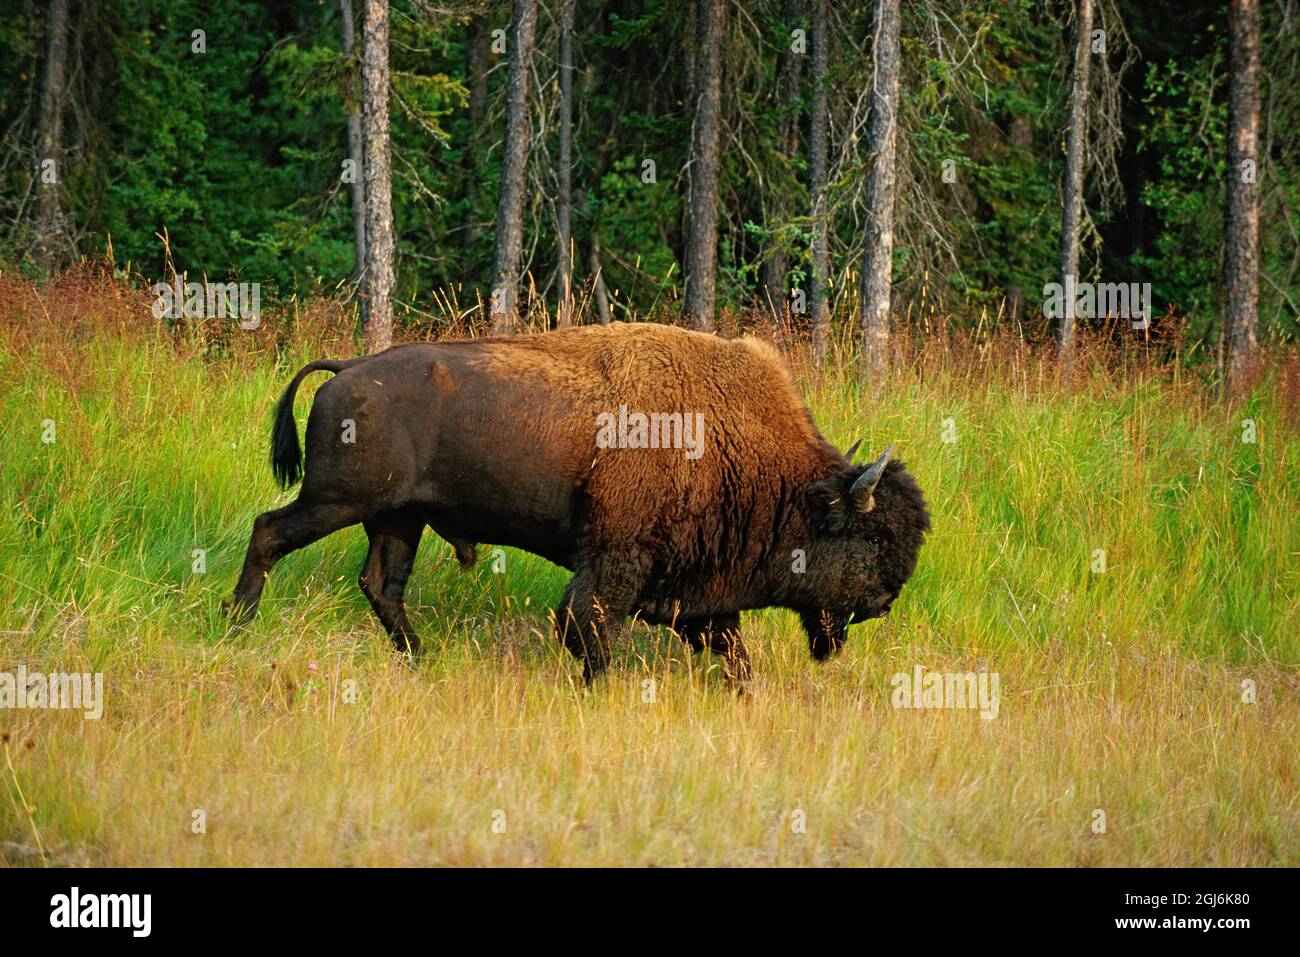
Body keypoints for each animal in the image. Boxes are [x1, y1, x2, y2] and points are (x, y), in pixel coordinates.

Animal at [228, 322, 930, 690]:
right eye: (873, 538)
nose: (884, 602)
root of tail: (349, 367)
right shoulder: (616, 560)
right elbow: (587, 628)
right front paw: (597, 688)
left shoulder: (698, 586)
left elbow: (731, 649)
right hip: (337, 501)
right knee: (269, 532)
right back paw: (238, 626)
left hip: (398, 518)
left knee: (381, 584)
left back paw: (421, 658)